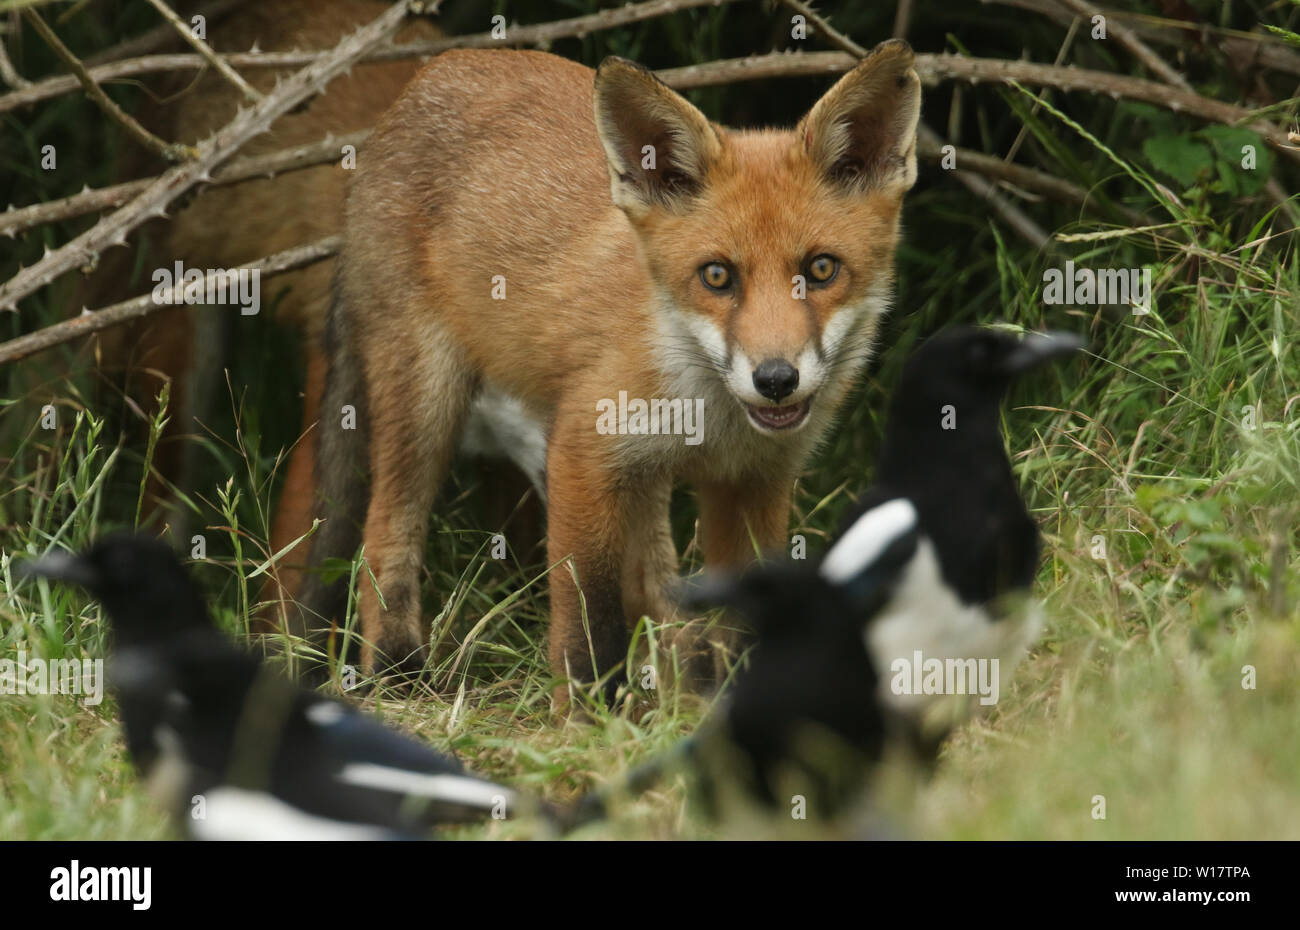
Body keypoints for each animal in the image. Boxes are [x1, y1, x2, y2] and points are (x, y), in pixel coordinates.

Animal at [303, 42, 922, 695]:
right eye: (717, 276)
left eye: (822, 269)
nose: (775, 380)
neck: (710, 415)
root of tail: (432, 72)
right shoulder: (582, 454)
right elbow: (588, 622)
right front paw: (584, 707)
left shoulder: (755, 480)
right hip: (429, 399)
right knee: (383, 535)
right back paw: (398, 672)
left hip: (632, 475)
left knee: (656, 583)